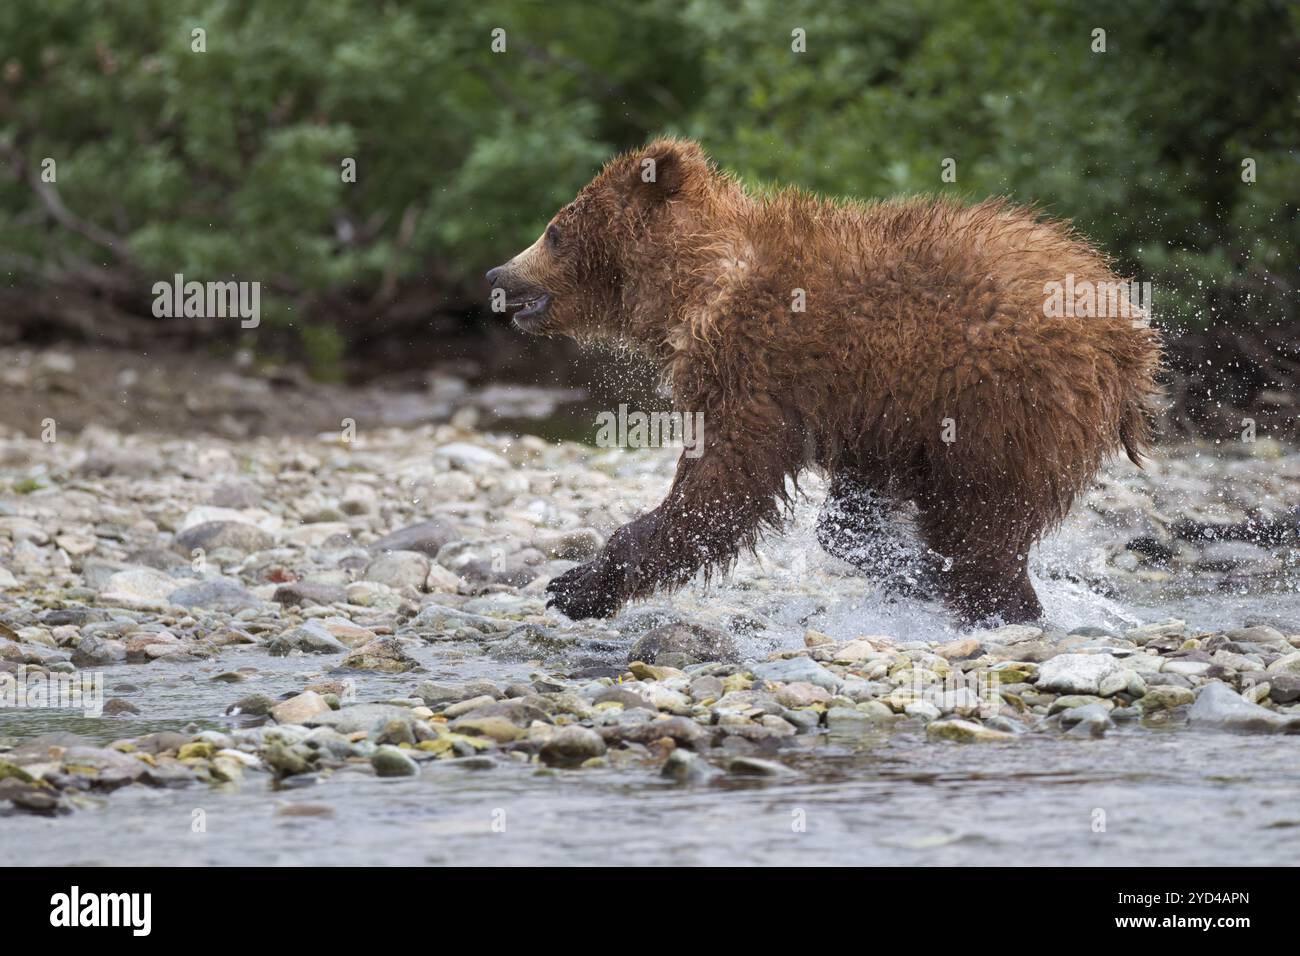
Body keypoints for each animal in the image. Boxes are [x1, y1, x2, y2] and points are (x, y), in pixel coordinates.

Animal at [485, 139, 1162, 625]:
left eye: (553, 230)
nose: (497, 272)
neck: (695, 284)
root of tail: (1129, 337)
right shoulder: (873, 402)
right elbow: (849, 510)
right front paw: (892, 559)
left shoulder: (753, 368)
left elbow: (722, 484)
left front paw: (577, 584)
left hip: (1003, 404)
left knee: (981, 520)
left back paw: (996, 603)